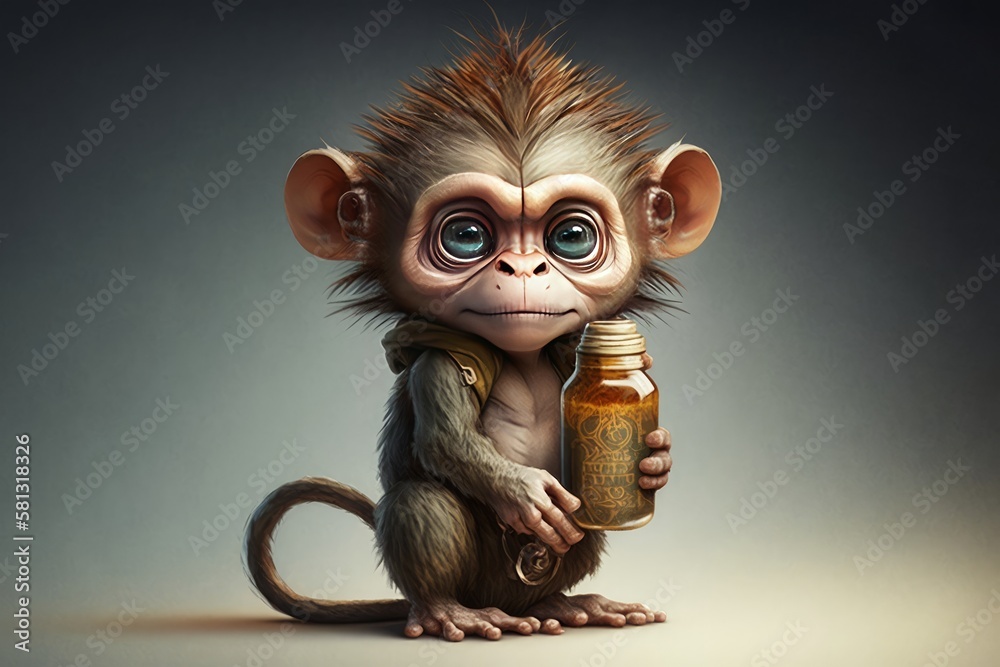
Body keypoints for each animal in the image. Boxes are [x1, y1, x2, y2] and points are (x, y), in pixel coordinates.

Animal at [244, 23, 721, 642]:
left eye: (571, 237)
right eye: (467, 236)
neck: (519, 357)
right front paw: (523, 492)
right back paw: (448, 611)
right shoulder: (440, 360)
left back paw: (567, 605)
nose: (521, 267)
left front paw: (657, 461)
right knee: (421, 504)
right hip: (471, 575)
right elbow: (447, 443)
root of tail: (506, 598)